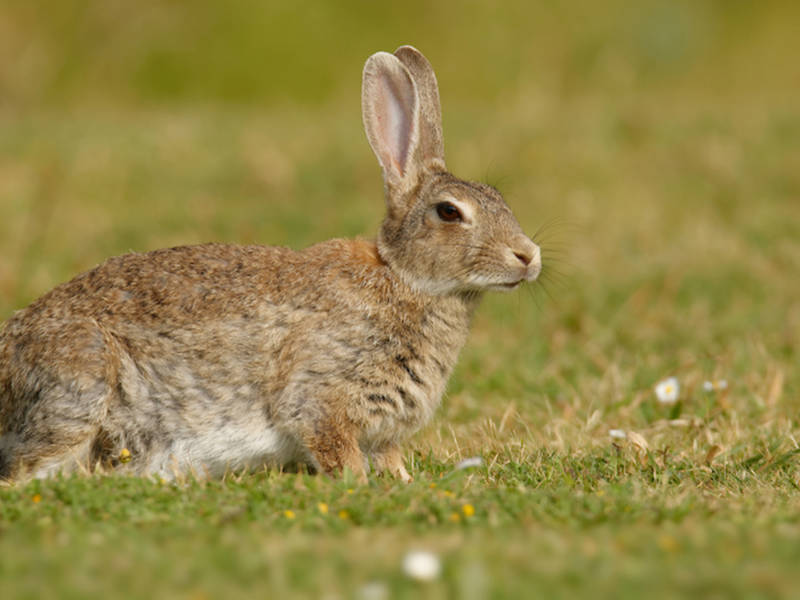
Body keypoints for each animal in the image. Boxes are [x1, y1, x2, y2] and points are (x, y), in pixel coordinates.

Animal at [0, 46, 541, 483]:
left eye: (498, 198)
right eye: (449, 212)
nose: (528, 256)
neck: (404, 279)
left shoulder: (383, 430)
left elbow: (389, 459)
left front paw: (404, 483)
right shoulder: (321, 398)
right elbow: (336, 449)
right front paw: (360, 485)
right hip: (81, 382)